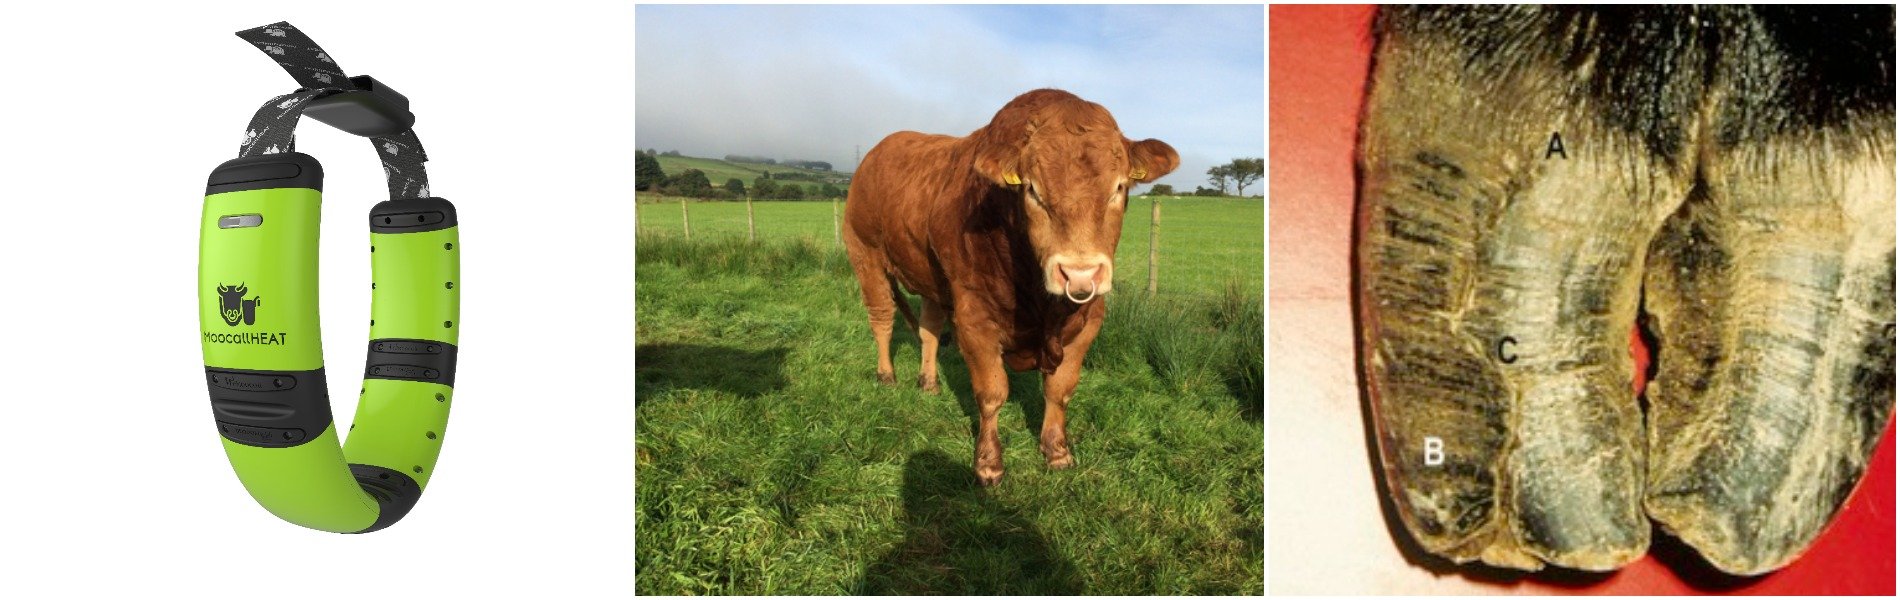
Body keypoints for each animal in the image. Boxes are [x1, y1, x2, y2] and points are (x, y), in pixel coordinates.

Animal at [844, 89, 1179, 486]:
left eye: (1119, 187)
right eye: (1032, 190)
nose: (1079, 273)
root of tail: (877, 151)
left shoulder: (1090, 319)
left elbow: (1060, 389)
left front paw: (1057, 451)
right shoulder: (974, 319)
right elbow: (991, 393)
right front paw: (988, 463)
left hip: (932, 278)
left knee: (929, 329)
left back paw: (928, 382)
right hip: (865, 255)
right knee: (881, 317)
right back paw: (886, 375)